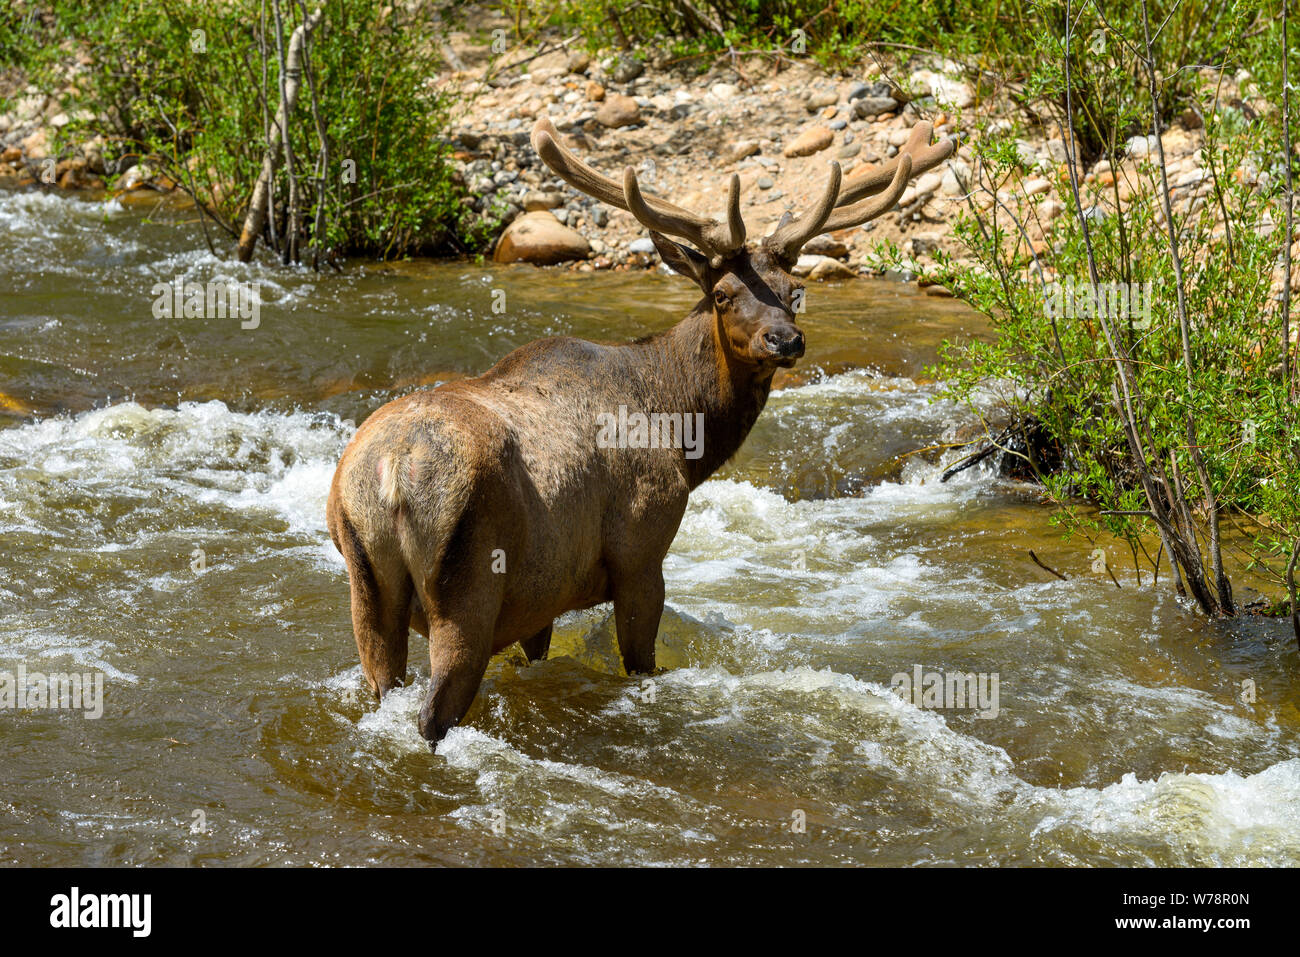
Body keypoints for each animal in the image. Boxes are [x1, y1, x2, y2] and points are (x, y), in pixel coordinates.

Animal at [327, 115, 955, 747]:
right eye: (722, 295)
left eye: (793, 291)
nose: (785, 340)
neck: (679, 426)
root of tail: (390, 475)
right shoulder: (641, 552)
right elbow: (639, 661)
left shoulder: (539, 598)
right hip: (469, 582)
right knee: (434, 712)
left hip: (366, 584)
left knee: (384, 679)